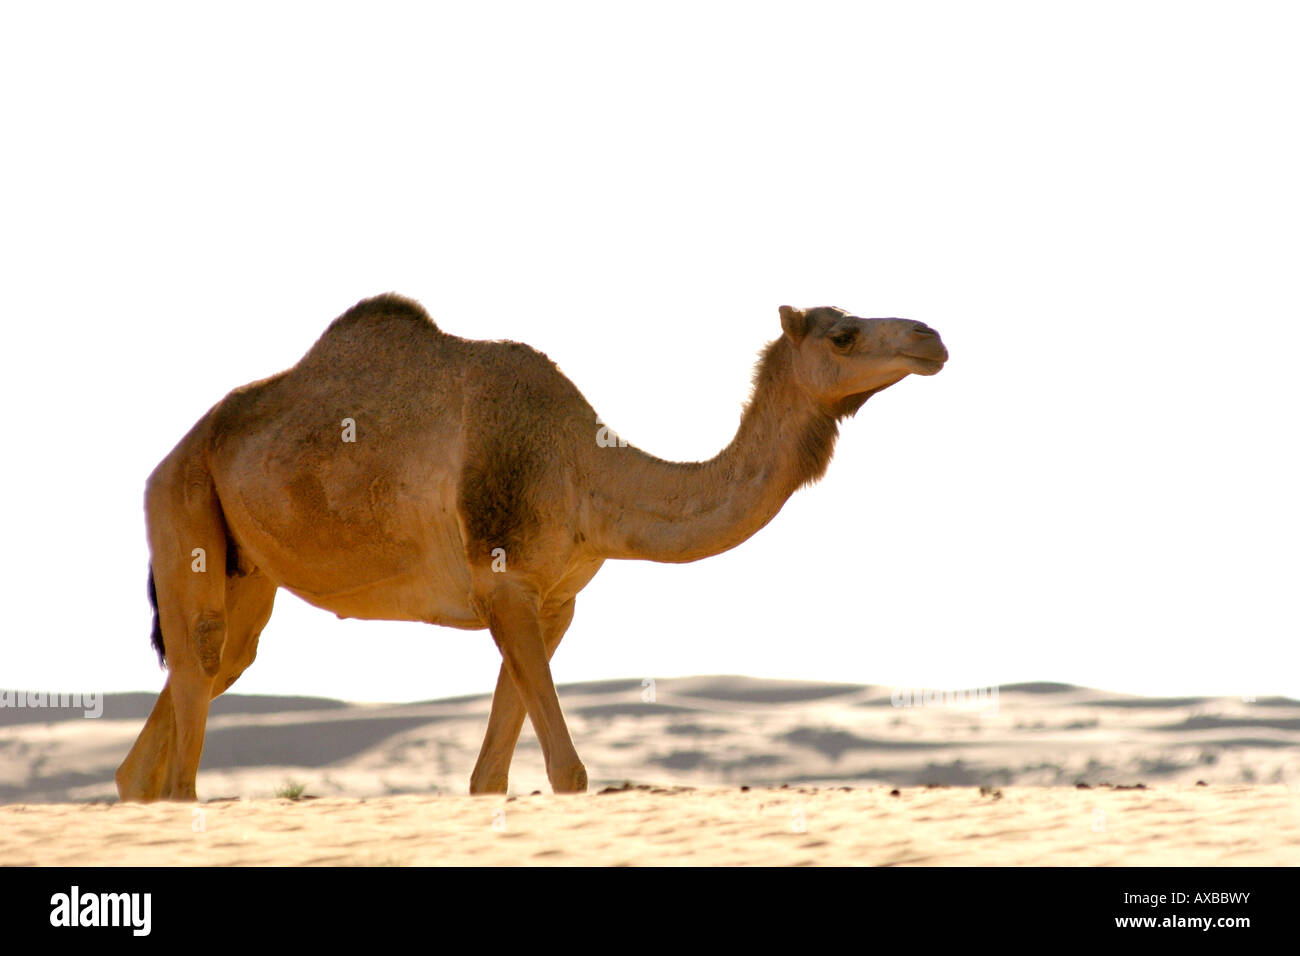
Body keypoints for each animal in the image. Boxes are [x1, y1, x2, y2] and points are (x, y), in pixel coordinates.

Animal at [116, 295, 947, 801]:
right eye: (843, 333)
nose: (930, 337)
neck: (586, 471)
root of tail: (177, 450)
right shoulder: (504, 583)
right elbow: (567, 770)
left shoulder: (554, 602)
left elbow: (490, 773)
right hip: (180, 504)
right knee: (197, 677)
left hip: (245, 568)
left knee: (202, 683)